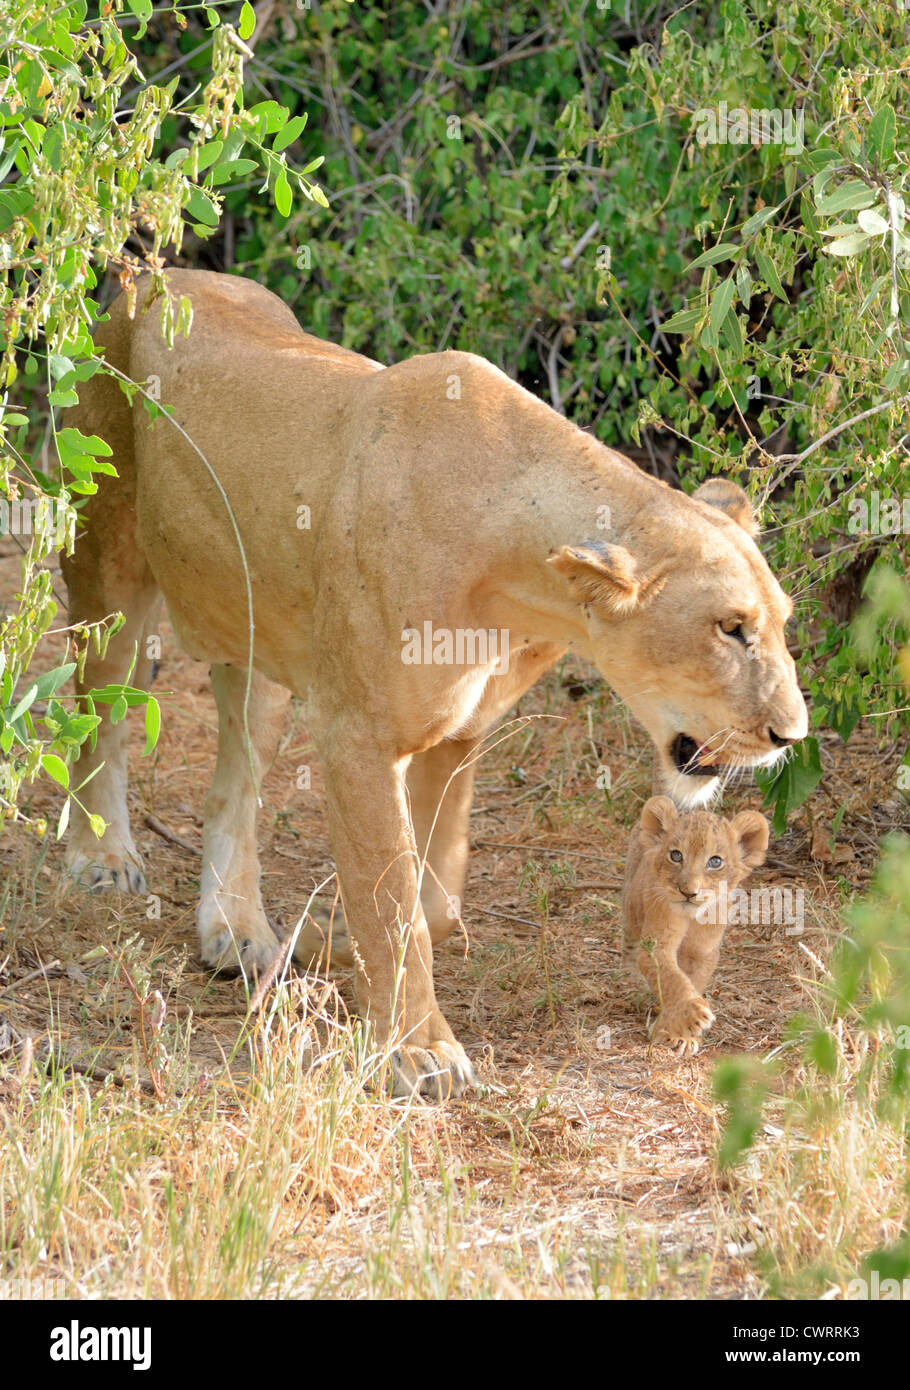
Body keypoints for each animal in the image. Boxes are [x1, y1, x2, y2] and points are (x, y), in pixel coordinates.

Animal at [622, 797, 770, 1055]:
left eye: (715, 861)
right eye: (676, 855)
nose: (688, 892)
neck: (692, 919)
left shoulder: (702, 952)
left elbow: (692, 980)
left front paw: (678, 1033)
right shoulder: (657, 944)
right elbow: (672, 979)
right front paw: (692, 1015)